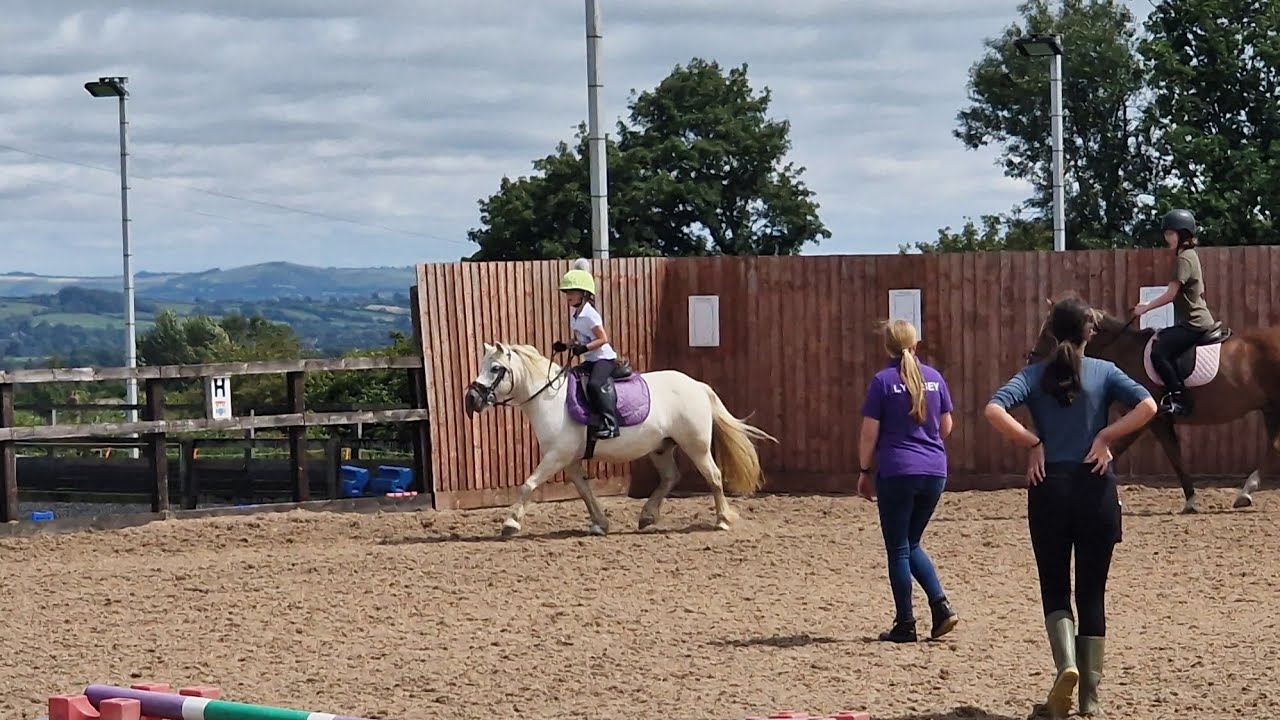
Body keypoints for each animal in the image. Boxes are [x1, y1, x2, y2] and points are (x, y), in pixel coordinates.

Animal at [462, 342, 778, 537]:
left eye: (495, 369)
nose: (471, 400)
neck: (550, 397)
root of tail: (697, 385)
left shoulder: (556, 456)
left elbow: (528, 484)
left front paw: (510, 523)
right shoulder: (570, 460)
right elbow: (584, 490)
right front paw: (600, 523)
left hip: (696, 446)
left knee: (713, 476)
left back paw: (722, 520)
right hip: (661, 448)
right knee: (670, 477)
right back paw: (647, 516)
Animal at [1027, 295, 1280, 513]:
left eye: (1050, 330)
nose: (1031, 358)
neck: (1123, 350)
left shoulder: (1146, 419)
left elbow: (1117, 451)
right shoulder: (1158, 421)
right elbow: (1174, 456)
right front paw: (1191, 500)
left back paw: (1245, 492)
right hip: (1269, 408)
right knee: (1274, 446)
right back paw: (1246, 492)